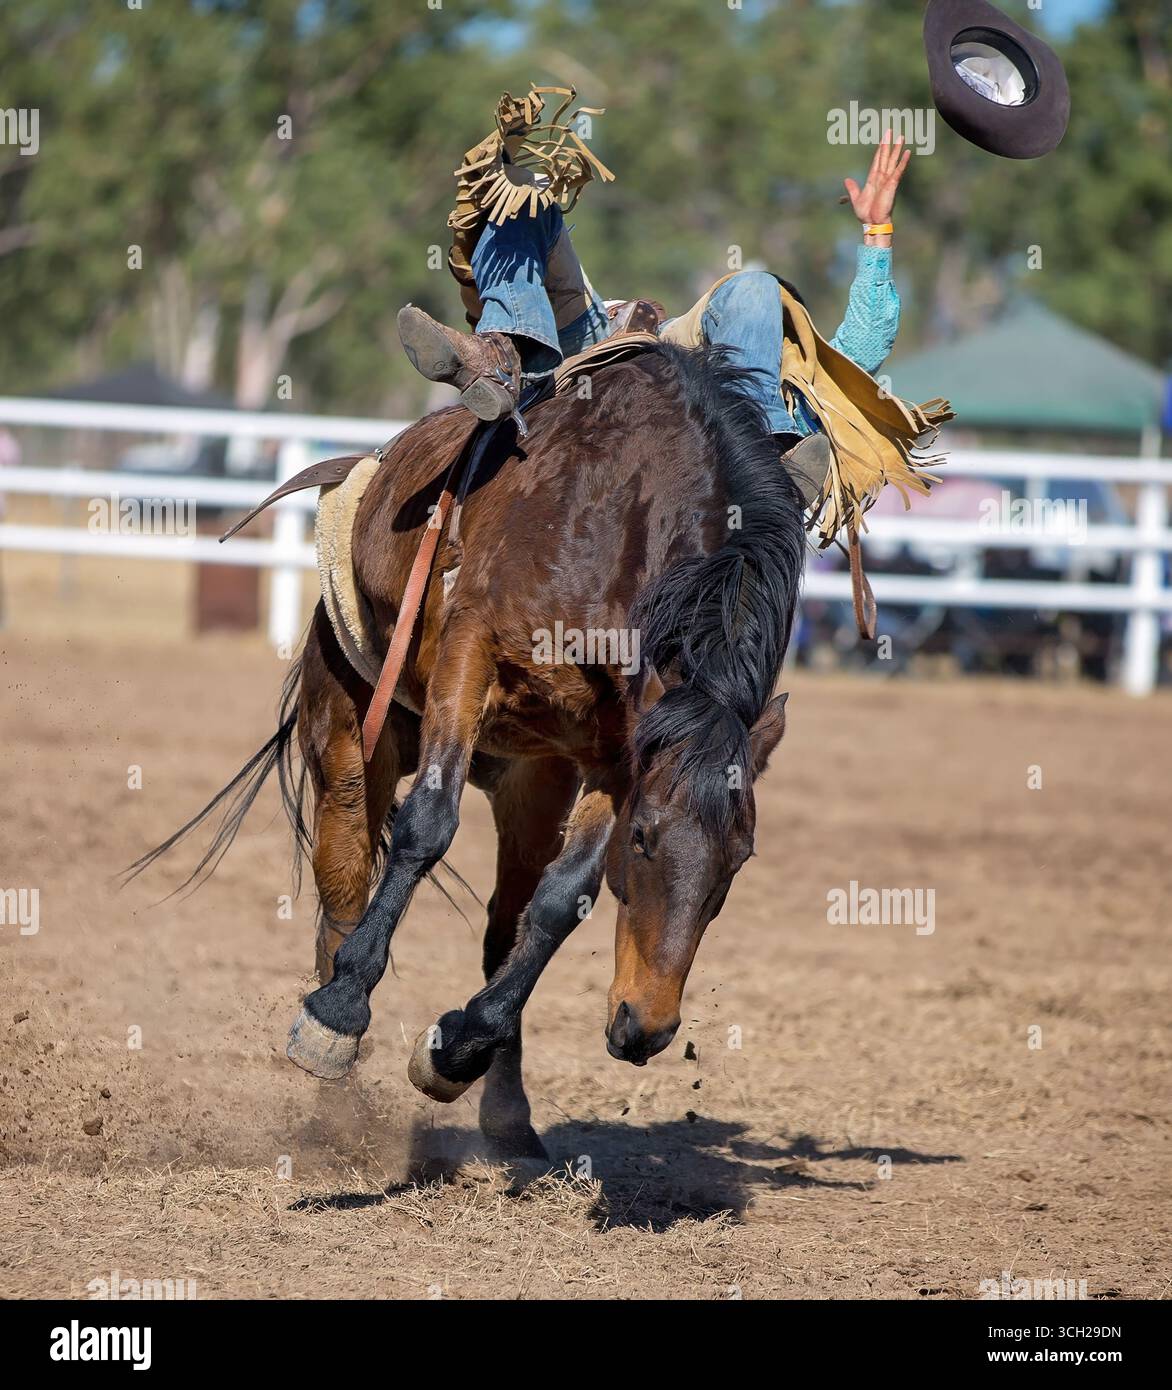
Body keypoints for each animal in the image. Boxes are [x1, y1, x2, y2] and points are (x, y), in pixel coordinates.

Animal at [133, 341, 805, 1160]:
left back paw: (504, 1108)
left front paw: (456, 1047)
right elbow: (427, 826)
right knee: (343, 894)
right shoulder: (471, 646)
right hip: (350, 737)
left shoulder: (617, 753)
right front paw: (340, 1011)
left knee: (505, 922)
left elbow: (562, 899)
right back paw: (334, 1077)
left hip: (533, 786)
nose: (646, 1028)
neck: (620, 518)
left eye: (738, 860)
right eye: (644, 840)